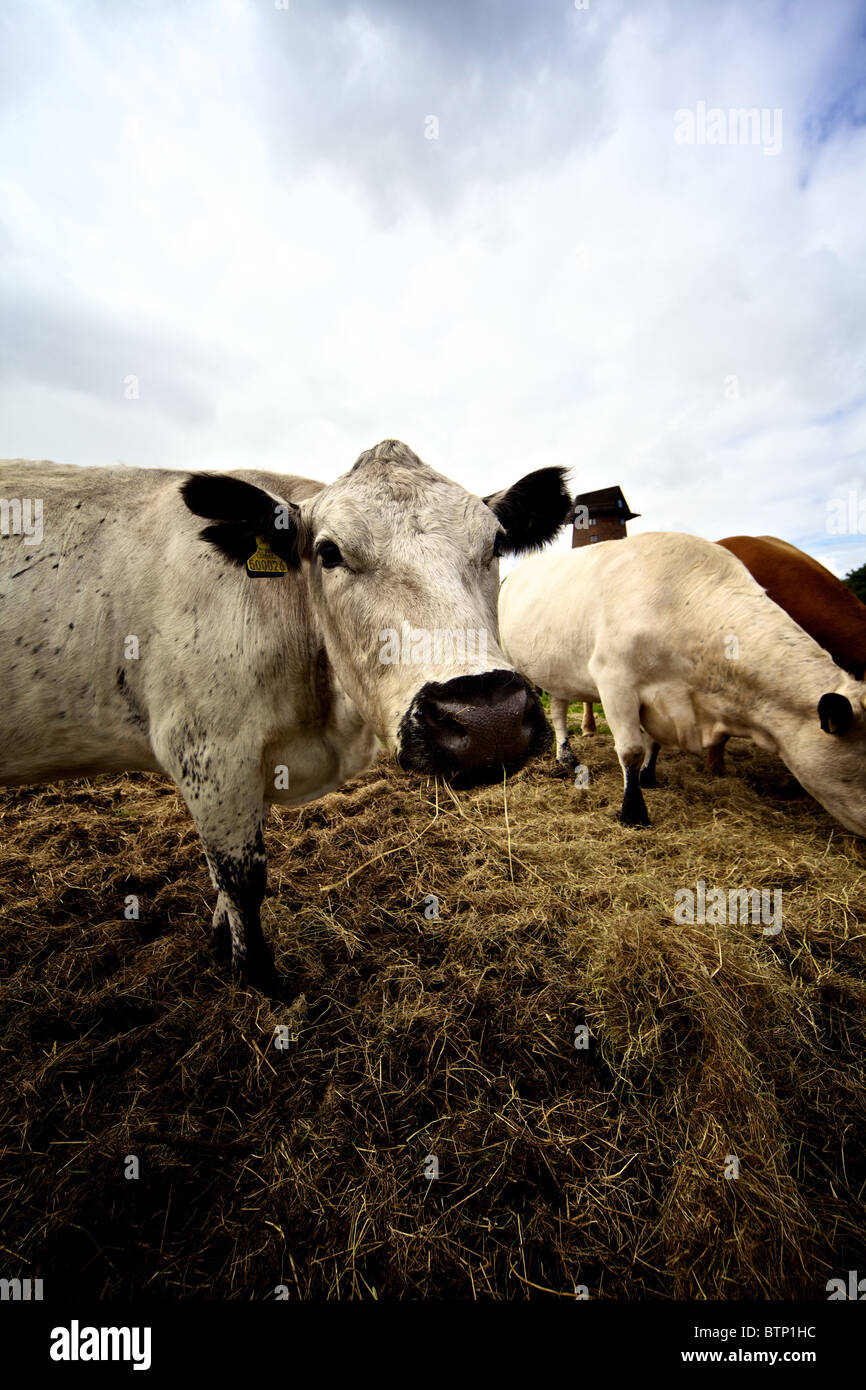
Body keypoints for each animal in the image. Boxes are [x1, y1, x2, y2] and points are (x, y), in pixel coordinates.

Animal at [0, 440, 571, 984]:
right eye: (329, 552)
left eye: (495, 543)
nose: (488, 720)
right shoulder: (208, 755)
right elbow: (241, 881)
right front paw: (260, 978)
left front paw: (223, 942)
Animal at [498, 532, 866, 835]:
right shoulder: (615, 682)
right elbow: (630, 751)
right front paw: (634, 812)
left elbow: (652, 744)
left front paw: (649, 777)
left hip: (556, 671)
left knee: (560, 706)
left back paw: (566, 755)